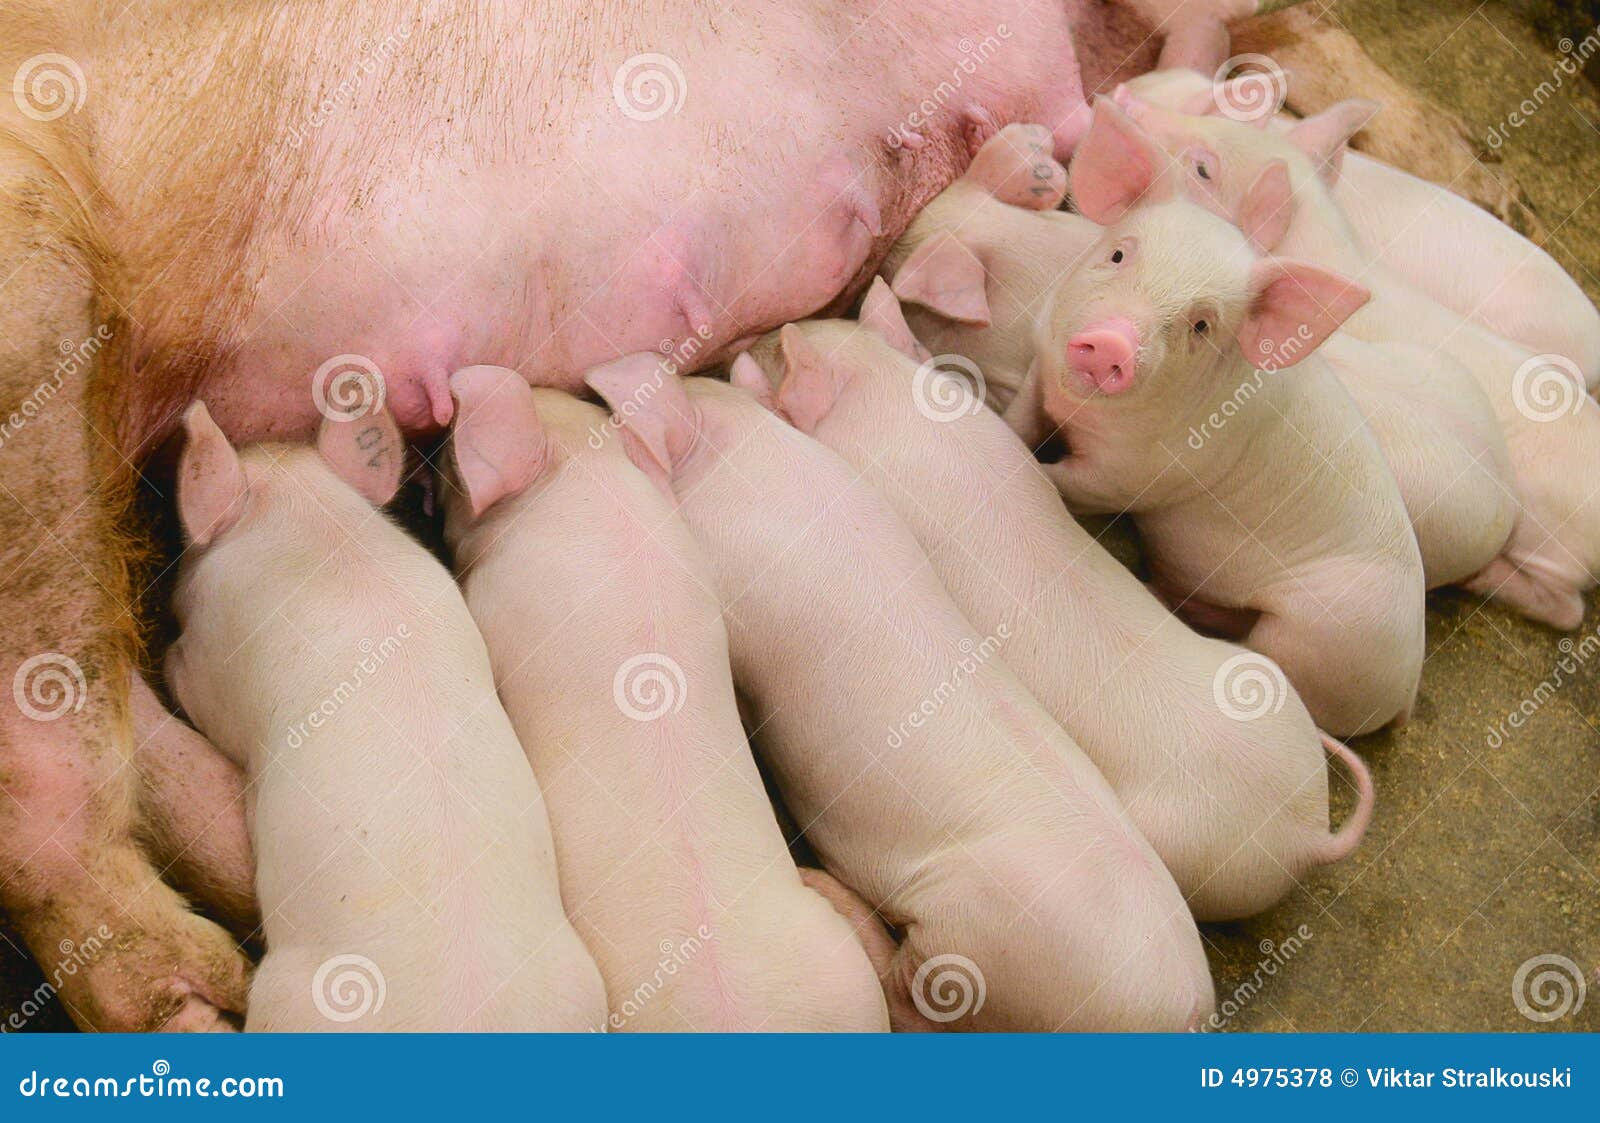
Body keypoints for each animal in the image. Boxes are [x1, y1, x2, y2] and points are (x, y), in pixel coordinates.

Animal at [1015, 101, 1425, 738]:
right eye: (1119, 253)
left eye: (1201, 324)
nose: (1112, 342)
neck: (1080, 412)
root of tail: (1407, 685)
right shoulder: (1042, 364)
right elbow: (1024, 412)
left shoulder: (1134, 478)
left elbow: (1070, 481)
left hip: (1316, 637)